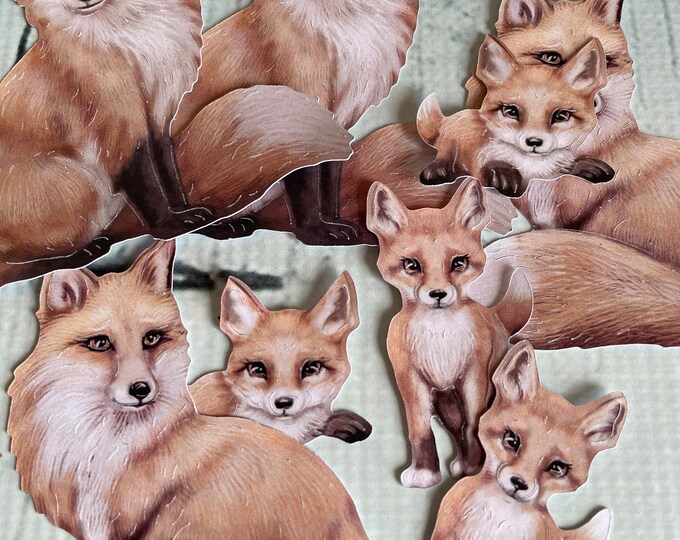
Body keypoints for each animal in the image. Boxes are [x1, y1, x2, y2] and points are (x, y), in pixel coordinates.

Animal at [0, 0, 213, 263]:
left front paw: (186, 210)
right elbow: (150, 191)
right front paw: (172, 225)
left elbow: (170, 177)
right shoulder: (122, 130)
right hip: (82, 185)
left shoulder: (158, 120)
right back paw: (80, 252)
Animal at [175, 0, 419, 244]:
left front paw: (335, 222)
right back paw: (222, 226)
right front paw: (317, 232)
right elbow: (308, 189)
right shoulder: (303, 112)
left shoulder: (338, 124)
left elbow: (329, 189)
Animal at [366, 177, 532, 488]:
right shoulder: (409, 380)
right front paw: (425, 473)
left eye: (458, 263)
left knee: (467, 427)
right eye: (411, 265)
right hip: (445, 404)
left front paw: (473, 467)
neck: (439, 334)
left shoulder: (474, 375)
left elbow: (474, 424)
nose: (438, 294)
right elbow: (420, 431)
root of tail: (496, 317)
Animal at [417, 35, 612, 196]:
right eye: (511, 111)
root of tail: (447, 120)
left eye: (561, 116)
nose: (534, 142)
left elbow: (568, 165)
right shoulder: (479, 159)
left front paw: (584, 165)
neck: (531, 170)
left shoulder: (552, 172)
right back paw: (437, 170)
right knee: (443, 156)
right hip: (451, 144)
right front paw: (503, 175)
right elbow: (488, 168)